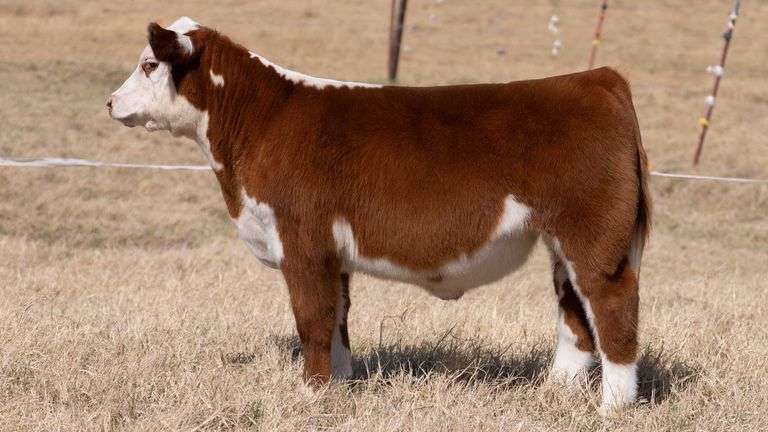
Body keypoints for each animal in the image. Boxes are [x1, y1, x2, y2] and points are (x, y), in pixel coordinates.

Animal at [107, 17, 651, 415]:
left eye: (149, 63)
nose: (110, 102)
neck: (260, 121)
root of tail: (596, 78)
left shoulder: (302, 241)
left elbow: (311, 317)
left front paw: (311, 395)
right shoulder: (332, 254)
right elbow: (338, 318)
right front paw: (340, 385)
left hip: (593, 235)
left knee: (611, 305)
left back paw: (613, 407)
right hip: (563, 243)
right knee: (574, 313)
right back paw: (554, 392)